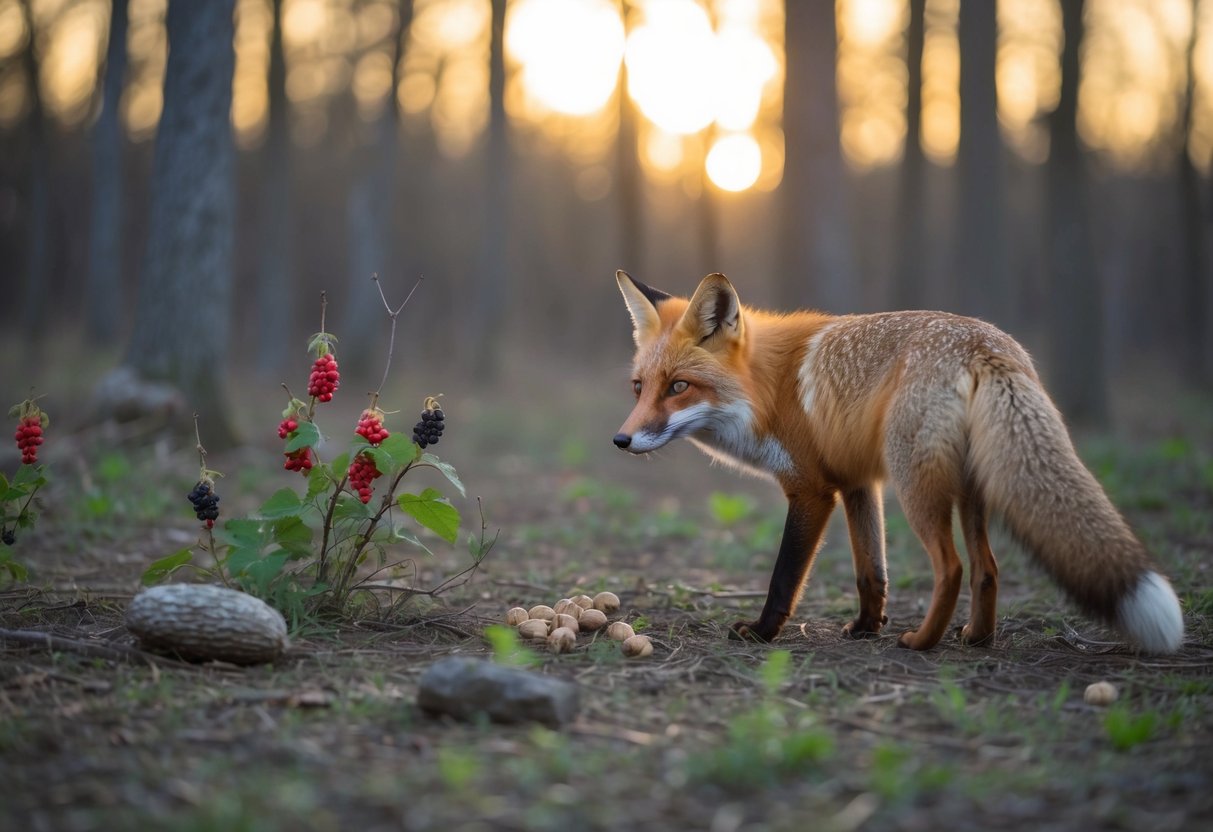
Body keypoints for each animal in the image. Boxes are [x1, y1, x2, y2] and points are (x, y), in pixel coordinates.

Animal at [612, 270, 1185, 654]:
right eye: (639, 387)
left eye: (679, 387)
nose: (621, 439)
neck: (768, 391)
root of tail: (987, 345)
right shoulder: (858, 483)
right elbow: (872, 571)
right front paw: (867, 626)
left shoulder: (812, 489)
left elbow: (785, 576)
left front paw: (762, 632)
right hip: (969, 489)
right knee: (987, 568)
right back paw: (977, 637)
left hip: (918, 485)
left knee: (952, 567)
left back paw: (922, 641)